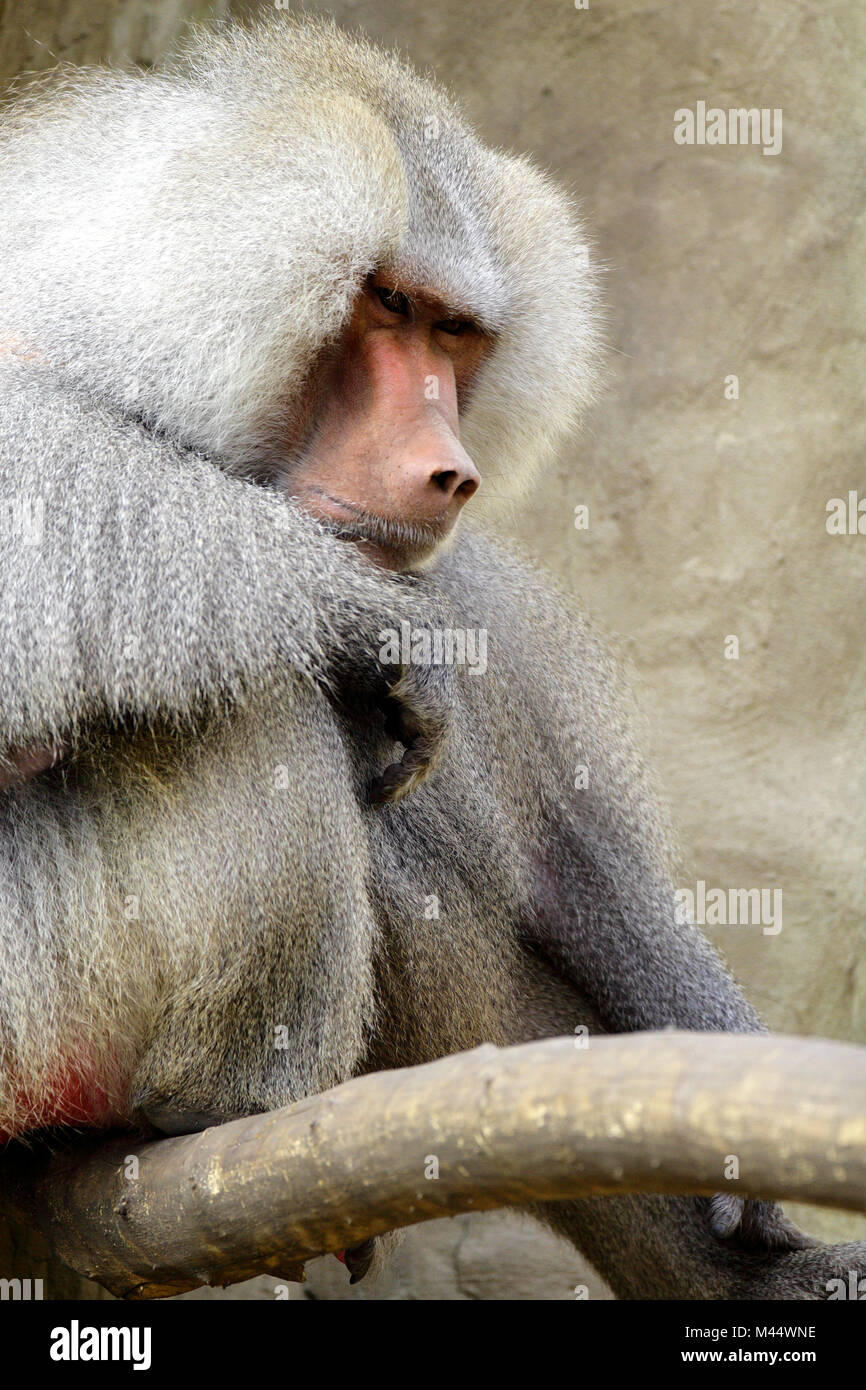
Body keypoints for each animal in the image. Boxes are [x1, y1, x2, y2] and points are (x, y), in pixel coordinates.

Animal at [0, 17, 862, 1299]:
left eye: (453, 336)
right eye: (386, 304)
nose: (447, 468)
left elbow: (564, 863)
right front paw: (357, 615)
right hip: (39, 983)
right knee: (259, 705)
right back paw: (217, 1109)